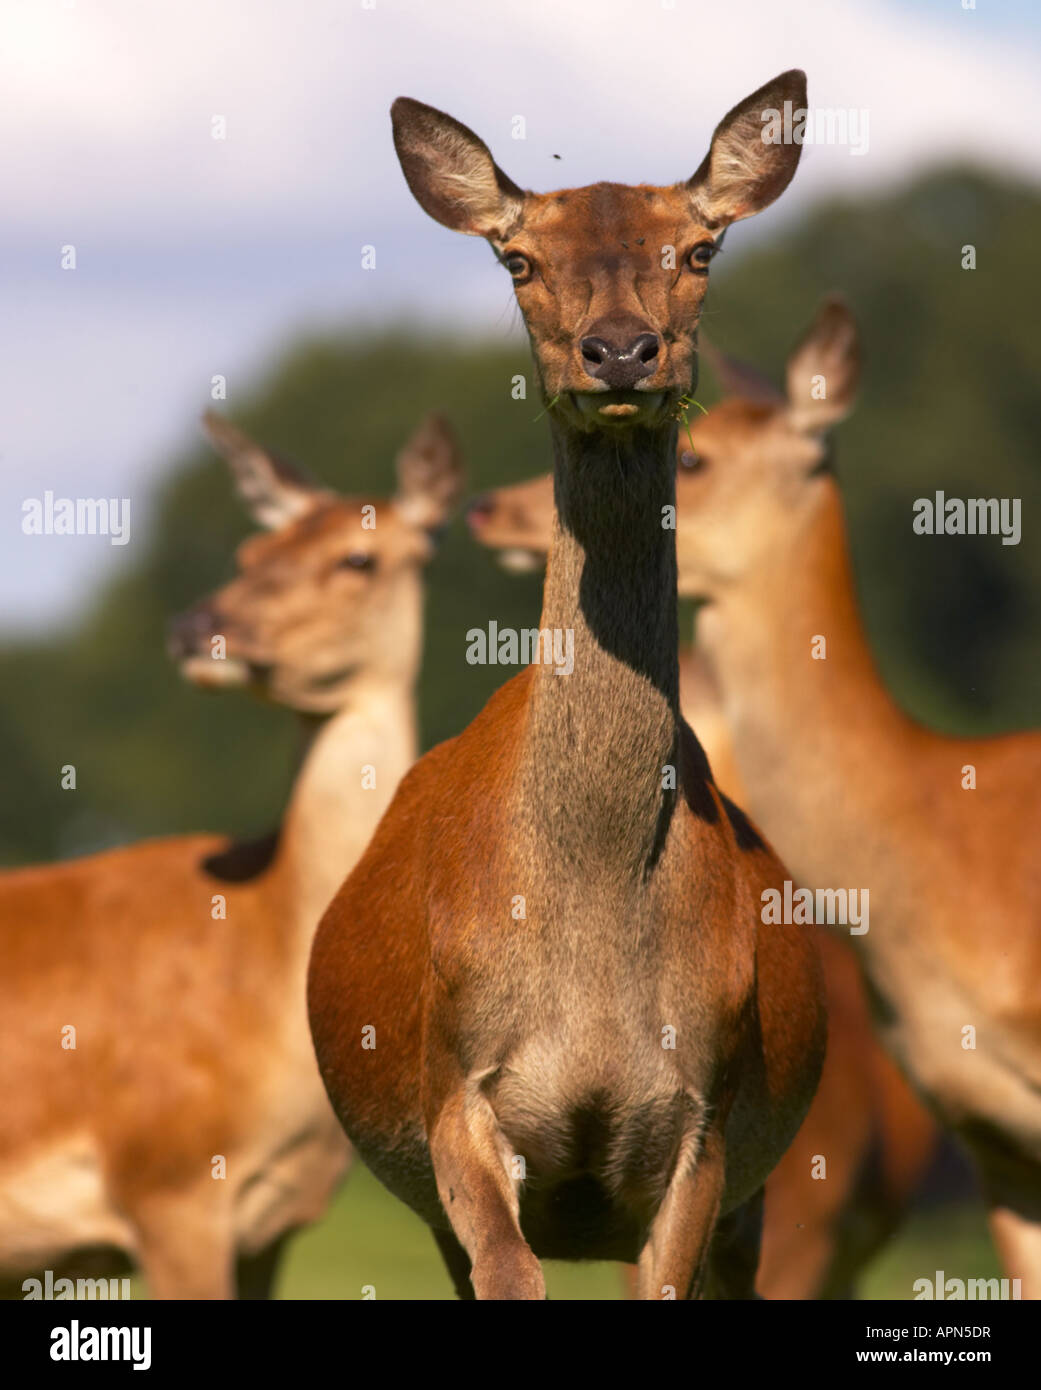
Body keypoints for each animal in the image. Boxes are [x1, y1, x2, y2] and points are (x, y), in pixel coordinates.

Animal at [308, 72, 827, 1300]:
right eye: (519, 259)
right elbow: (508, 1272)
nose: (622, 351)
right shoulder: (454, 1094)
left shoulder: (706, 1121)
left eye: (700, 246)